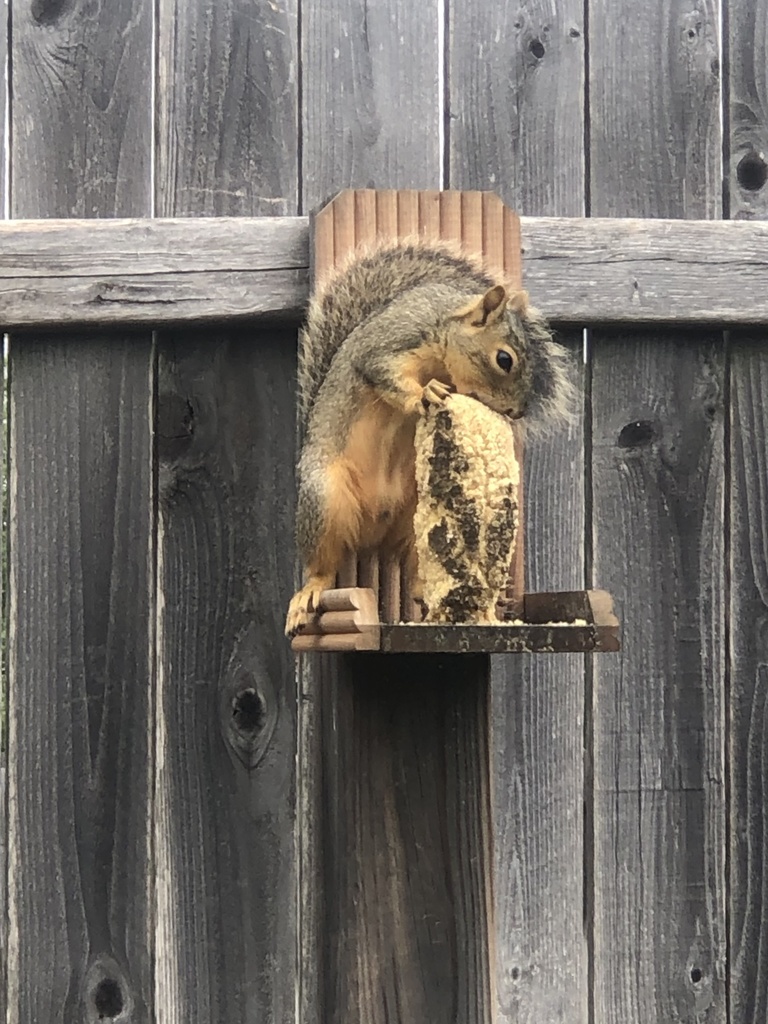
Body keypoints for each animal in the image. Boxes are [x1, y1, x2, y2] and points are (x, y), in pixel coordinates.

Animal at [285, 239, 573, 637]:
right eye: (504, 359)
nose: (516, 412)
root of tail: (374, 529)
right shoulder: (391, 343)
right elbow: (384, 372)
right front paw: (423, 394)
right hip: (324, 498)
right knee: (321, 565)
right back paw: (309, 591)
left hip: (414, 514)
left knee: (417, 564)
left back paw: (426, 591)